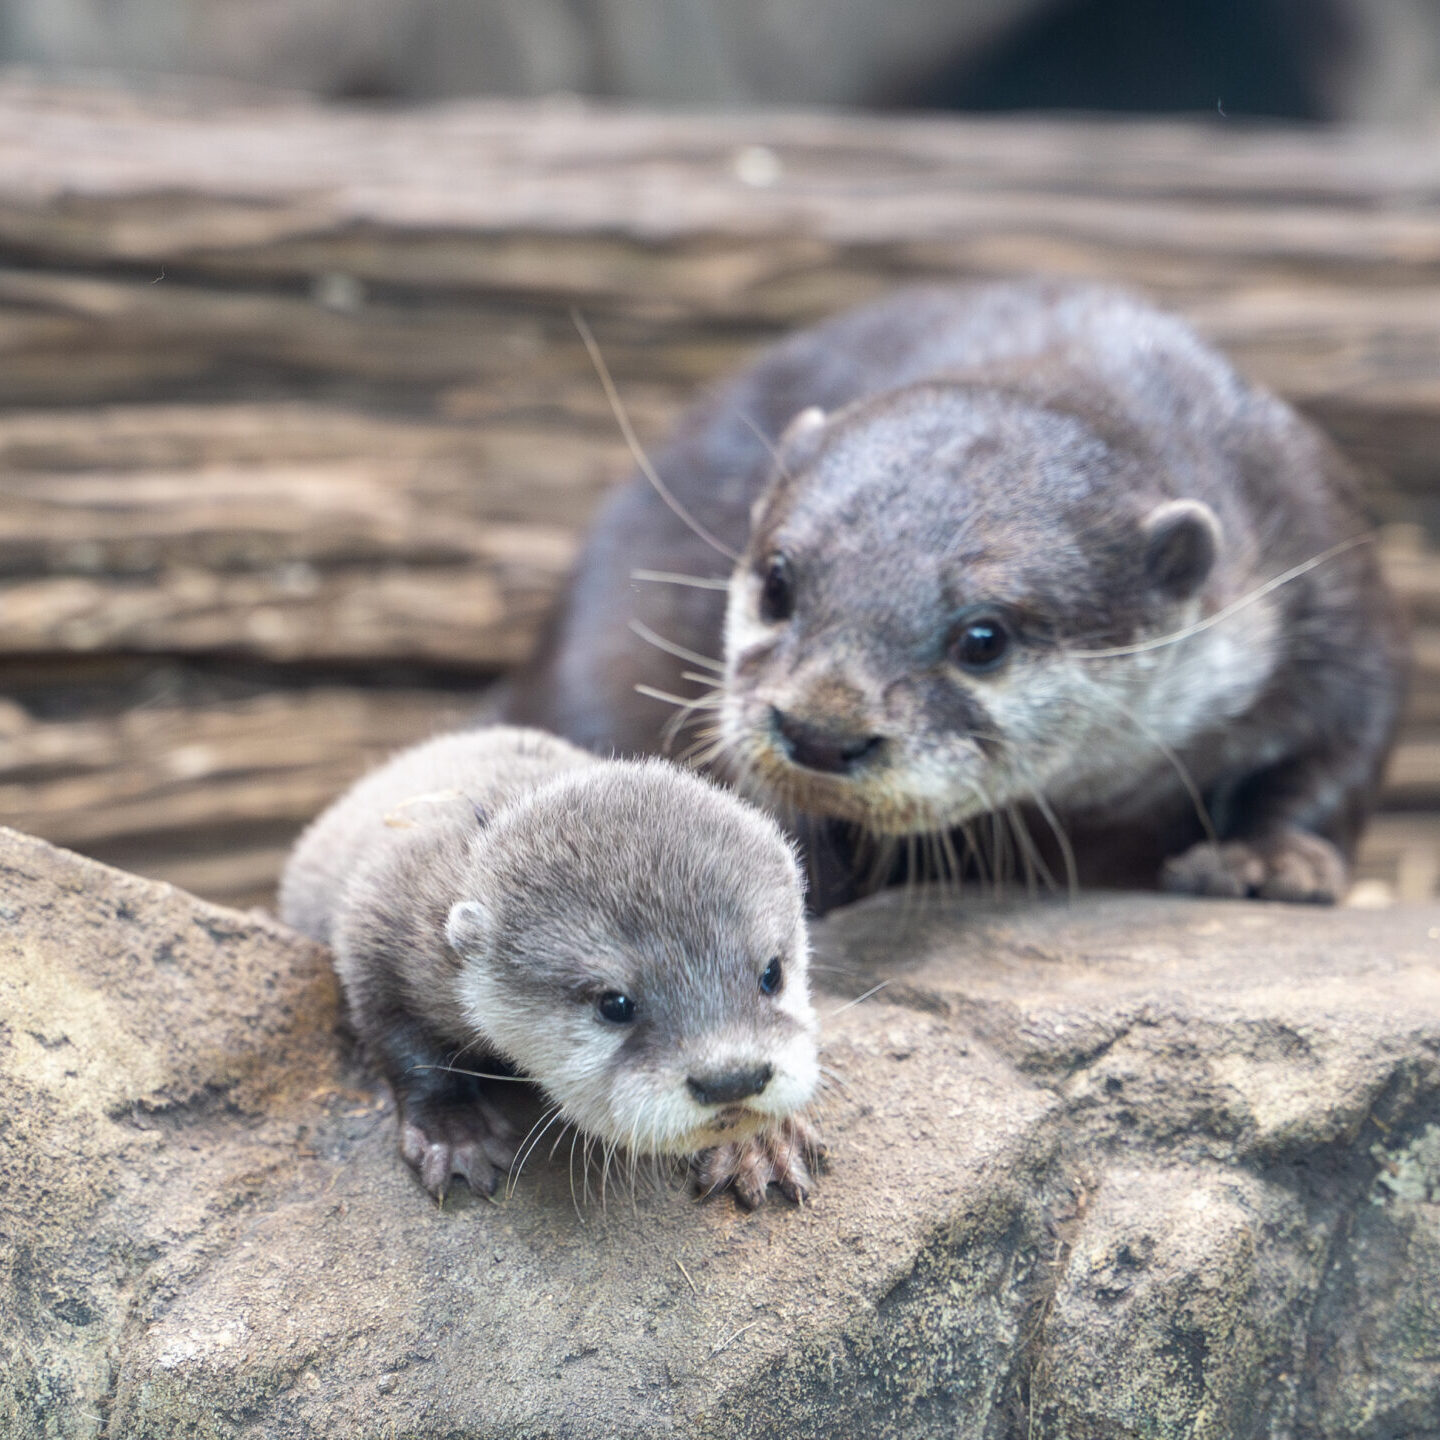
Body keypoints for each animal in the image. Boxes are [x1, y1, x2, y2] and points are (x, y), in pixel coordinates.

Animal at [280, 727, 820, 1208]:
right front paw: (455, 1133)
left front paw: (758, 1143)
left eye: (771, 974)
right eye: (614, 1004)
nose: (732, 1079)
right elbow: (398, 1036)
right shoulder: (377, 918)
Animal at [503, 281, 1406, 910]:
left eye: (983, 639)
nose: (821, 734)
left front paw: (1268, 861)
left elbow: (1335, 761)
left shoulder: (1333, 586)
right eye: (779, 582)